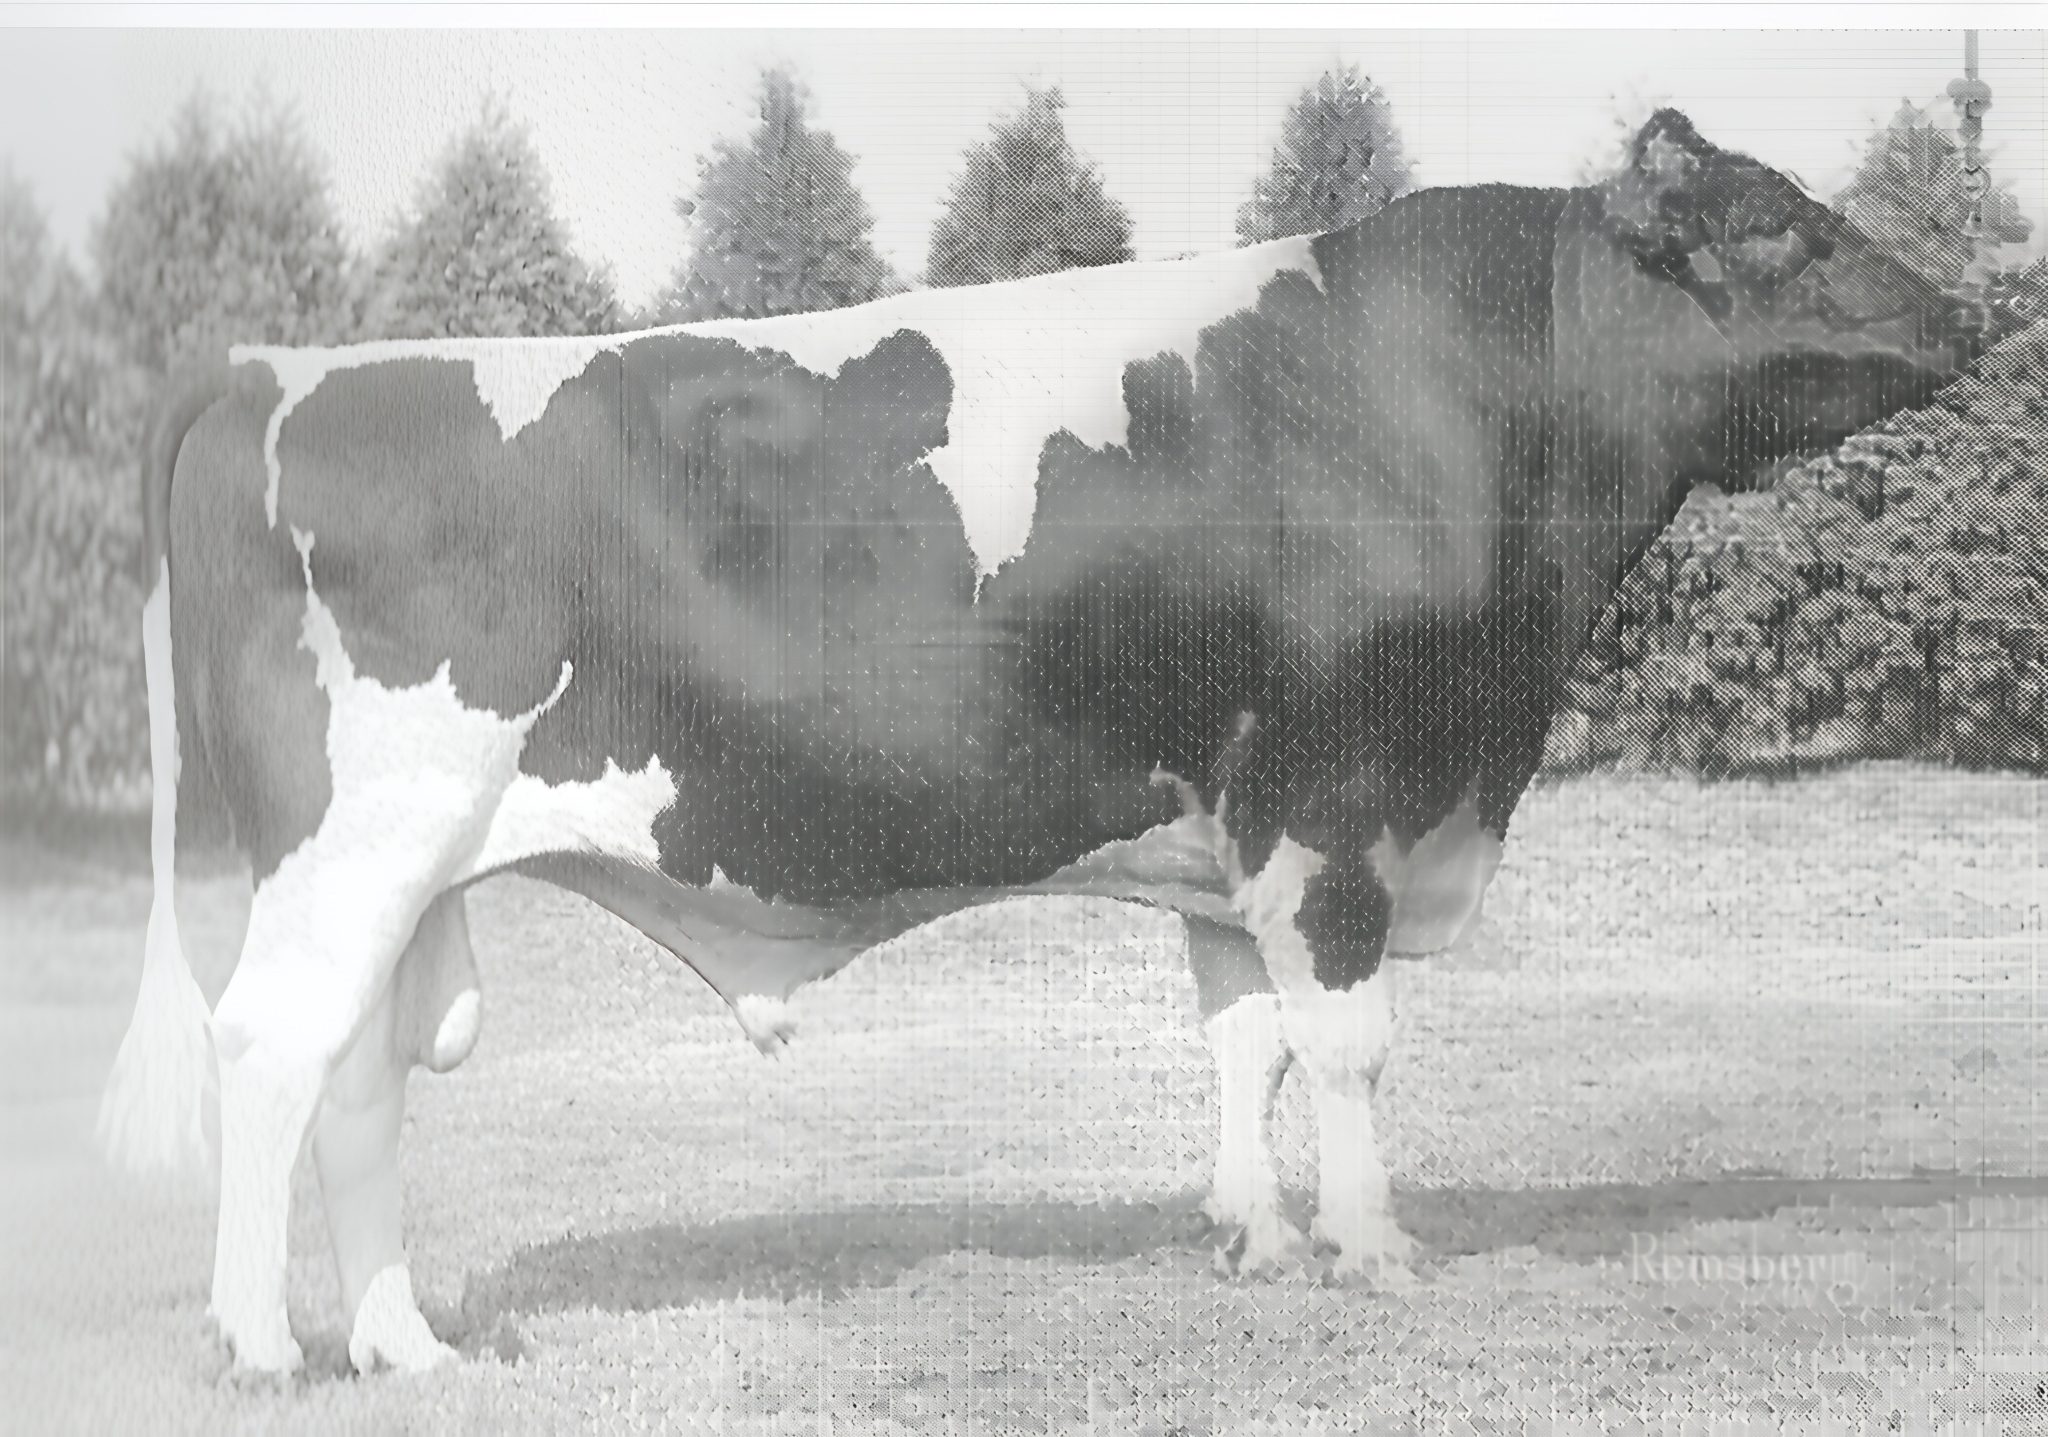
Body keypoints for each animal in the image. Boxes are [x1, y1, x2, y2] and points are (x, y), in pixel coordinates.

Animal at [97, 110, 1965, 1377]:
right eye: (1776, 229)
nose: (1966, 315)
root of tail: (279, 362)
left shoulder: (1227, 831)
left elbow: (1242, 1043)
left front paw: (1252, 1238)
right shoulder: (1332, 795)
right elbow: (1347, 1045)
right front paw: (1374, 1247)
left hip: (394, 870)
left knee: (354, 1079)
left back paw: (403, 1343)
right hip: (359, 840)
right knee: (272, 1051)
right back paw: (261, 1344)